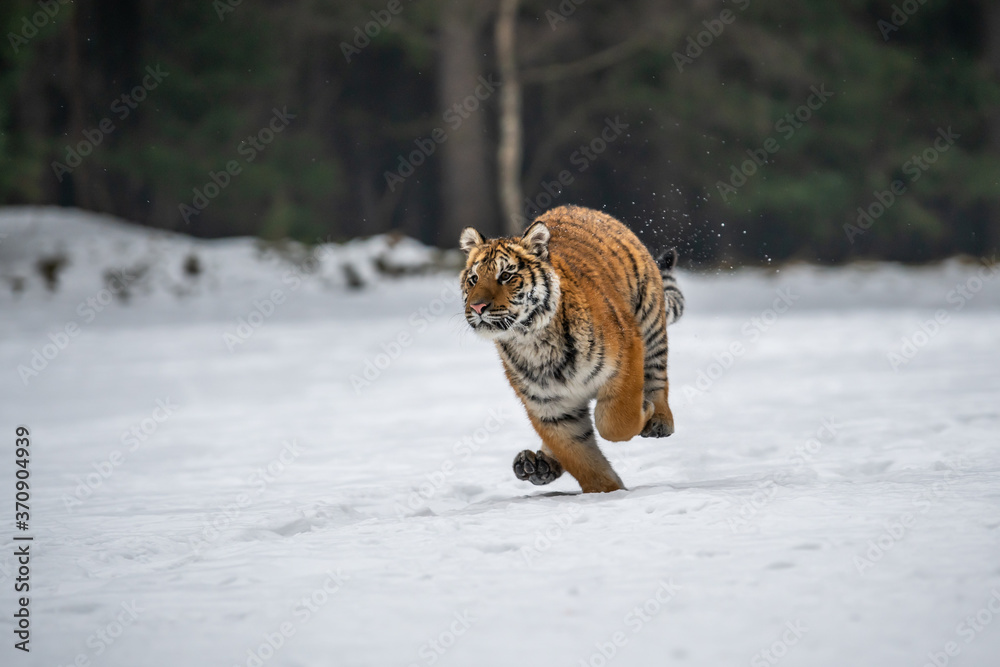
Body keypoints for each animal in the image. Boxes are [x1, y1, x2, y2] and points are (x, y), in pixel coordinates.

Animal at [459, 205, 685, 493]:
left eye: (506, 276)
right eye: (474, 279)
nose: (477, 307)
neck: (533, 341)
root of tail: (580, 208)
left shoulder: (625, 358)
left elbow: (614, 422)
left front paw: (644, 411)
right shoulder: (550, 409)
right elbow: (580, 457)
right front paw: (606, 492)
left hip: (650, 321)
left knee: (657, 377)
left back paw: (659, 420)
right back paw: (536, 465)